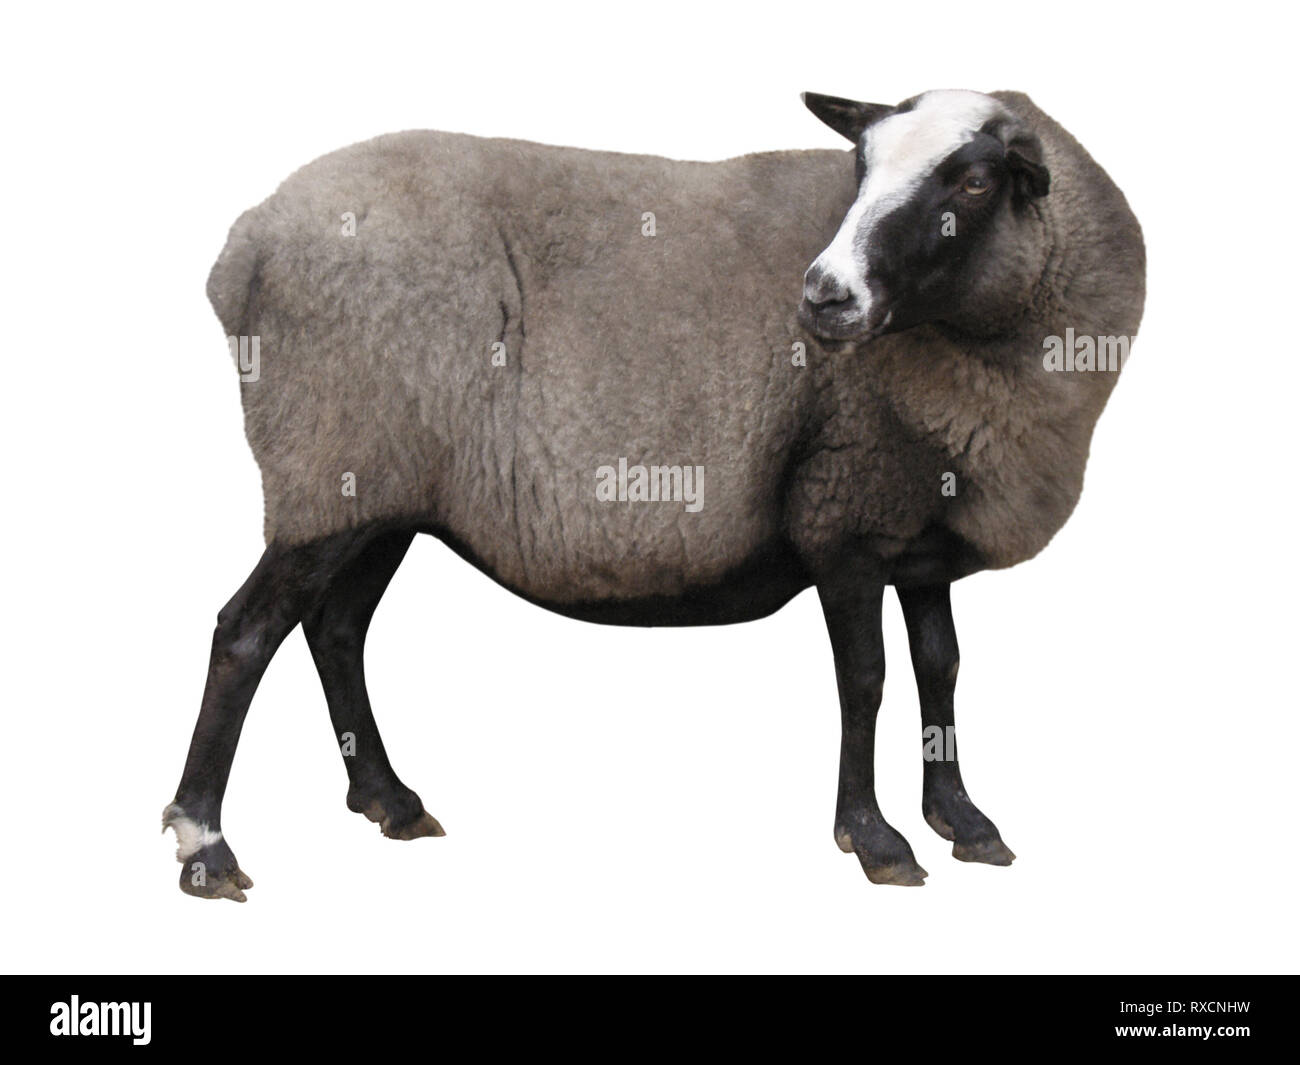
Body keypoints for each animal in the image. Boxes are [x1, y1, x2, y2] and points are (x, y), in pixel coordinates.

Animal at [165, 88, 1145, 900]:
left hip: (377, 491)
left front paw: (965, 820)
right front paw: (875, 840)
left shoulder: (917, 526)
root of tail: (241, 247)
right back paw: (204, 844)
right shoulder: (842, 512)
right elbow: (864, 679)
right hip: (327, 462)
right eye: (860, 168)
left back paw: (389, 799)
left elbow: (941, 668)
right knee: (245, 634)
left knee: (335, 629)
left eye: (975, 181)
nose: (823, 297)